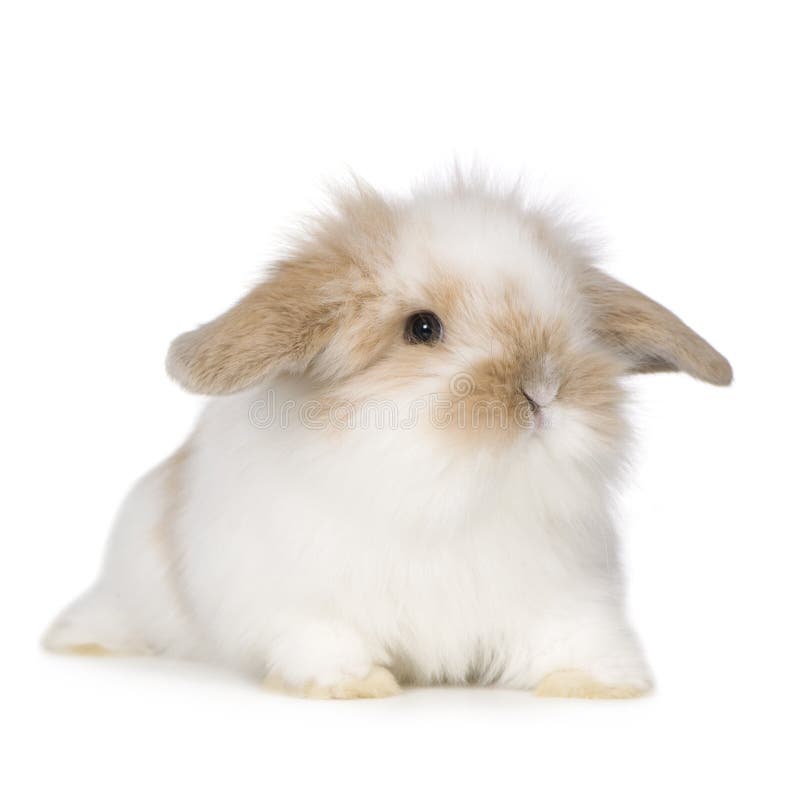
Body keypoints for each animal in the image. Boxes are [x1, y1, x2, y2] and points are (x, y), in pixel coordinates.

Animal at [44, 174, 732, 699]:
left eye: (577, 327)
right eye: (421, 328)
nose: (543, 390)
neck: (446, 502)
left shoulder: (567, 595)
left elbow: (576, 640)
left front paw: (600, 683)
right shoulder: (299, 602)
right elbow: (324, 639)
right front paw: (353, 684)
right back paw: (79, 643)